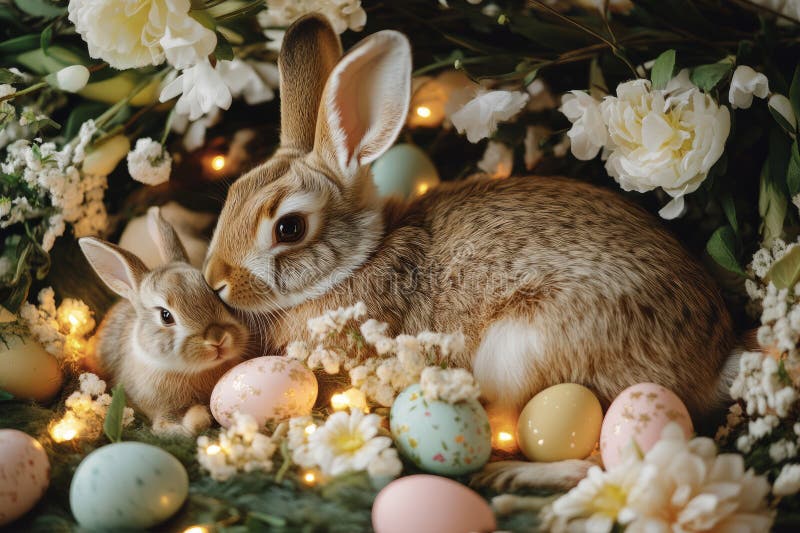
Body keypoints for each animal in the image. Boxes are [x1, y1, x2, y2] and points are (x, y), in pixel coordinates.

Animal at [80, 207, 249, 436]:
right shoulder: (160, 413)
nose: (218, 339)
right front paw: (198, 417)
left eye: (214, 294)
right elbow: (177, 428)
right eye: (165, 316)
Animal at [202, 15, 738, 488]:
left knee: (602, 457)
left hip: (526, 351)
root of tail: (707, 369)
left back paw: (509, 475)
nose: (215, 281)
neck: (360, 258)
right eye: (232, 196)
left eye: (289, 228)